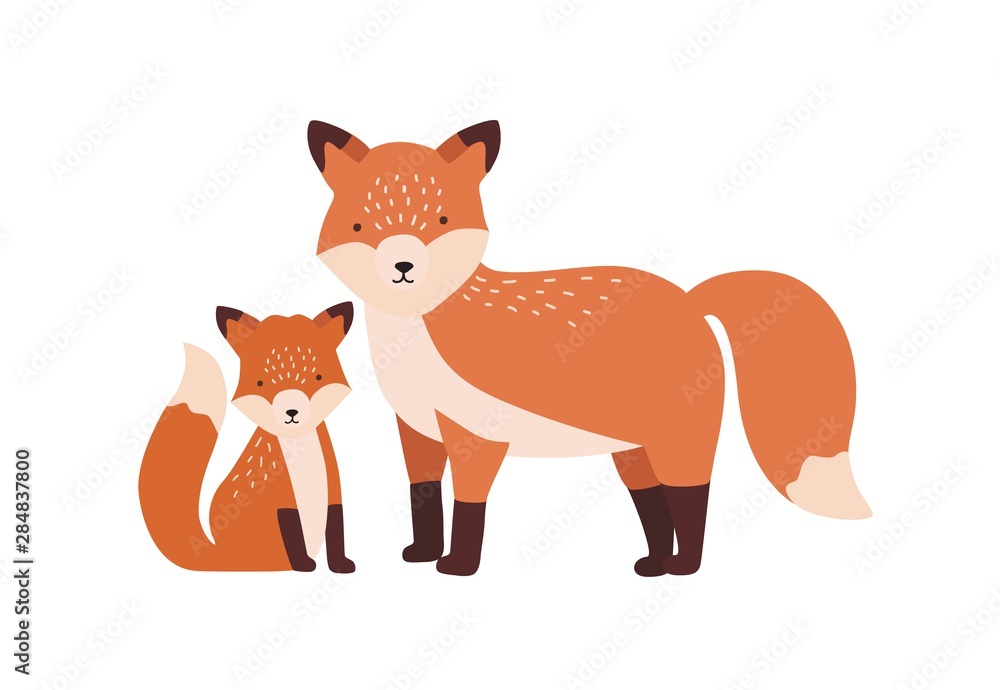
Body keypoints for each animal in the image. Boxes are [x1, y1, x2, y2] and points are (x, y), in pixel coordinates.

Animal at [138, 303, 356, 572]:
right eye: (261, 382)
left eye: (317, 377)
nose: (291, 412)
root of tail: (221, 554)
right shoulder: (280, 500)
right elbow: (292, 530)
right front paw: (303, 565)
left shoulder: (333, 489)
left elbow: (336, 529)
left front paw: (340, 565)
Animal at [306, 119, 872, 577]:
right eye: (361, 226)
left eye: (440, 222)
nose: (403, 265)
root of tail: (689, 300)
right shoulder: (417, 428)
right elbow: (422, 497)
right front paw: (422, 555)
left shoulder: (477, 435)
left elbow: (469, 507)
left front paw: (459, 565)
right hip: (633, 450)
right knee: (653, 505)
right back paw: (654, 564)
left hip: (678, 443)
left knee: (691, 500)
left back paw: (685, 567)